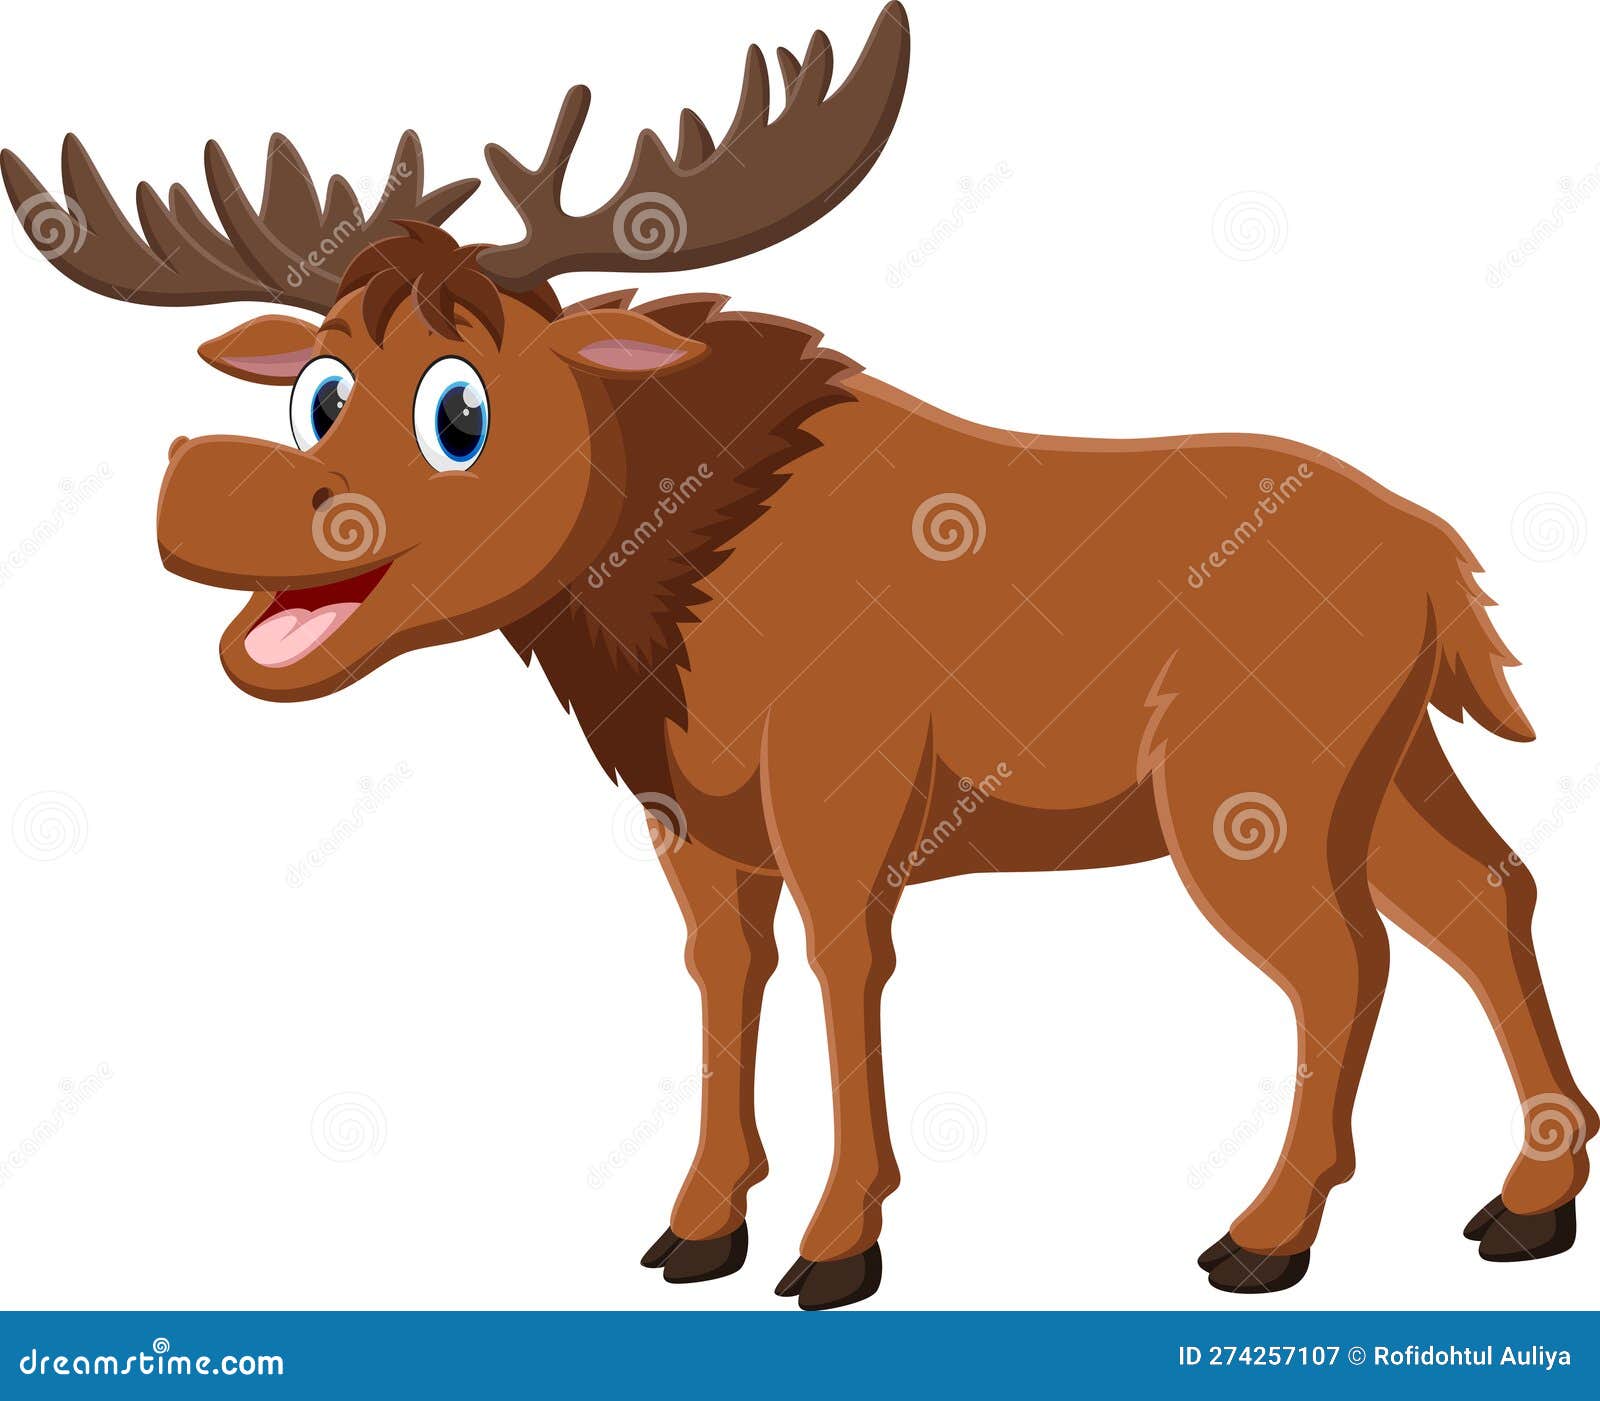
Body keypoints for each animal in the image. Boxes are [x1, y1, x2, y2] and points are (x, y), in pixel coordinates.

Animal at [4, 3, 1593, 1309]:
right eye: (317, 390)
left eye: (461, 409)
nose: (201, 485)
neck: (661, 643)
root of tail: (1442, 565)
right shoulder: (695, 821)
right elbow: (725, 975)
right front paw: (698, 1226)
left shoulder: (844, 785)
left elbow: (846, 970)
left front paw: (840, 1246)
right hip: (1384, 758)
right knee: (1484, 893)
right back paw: (1528, 1202)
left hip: (1246, 784)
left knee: (1345, 958)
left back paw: (1267, 1236)